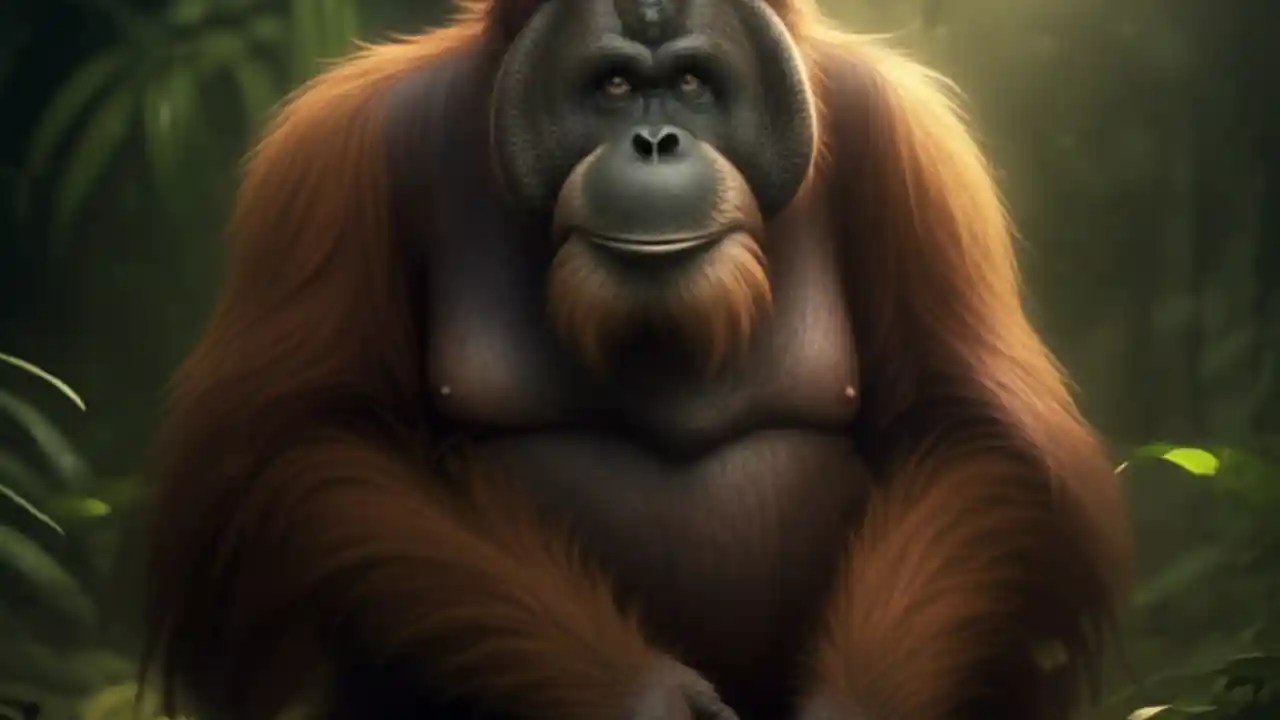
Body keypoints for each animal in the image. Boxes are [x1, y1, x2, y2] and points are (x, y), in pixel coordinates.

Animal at [143, 1, 1132, 719]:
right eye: (615, 85)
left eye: (690, 82)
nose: (655, 143)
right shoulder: (335, 156)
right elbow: (298, 445)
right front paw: (646, 696)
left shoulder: (910, 147)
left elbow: (969, 430)